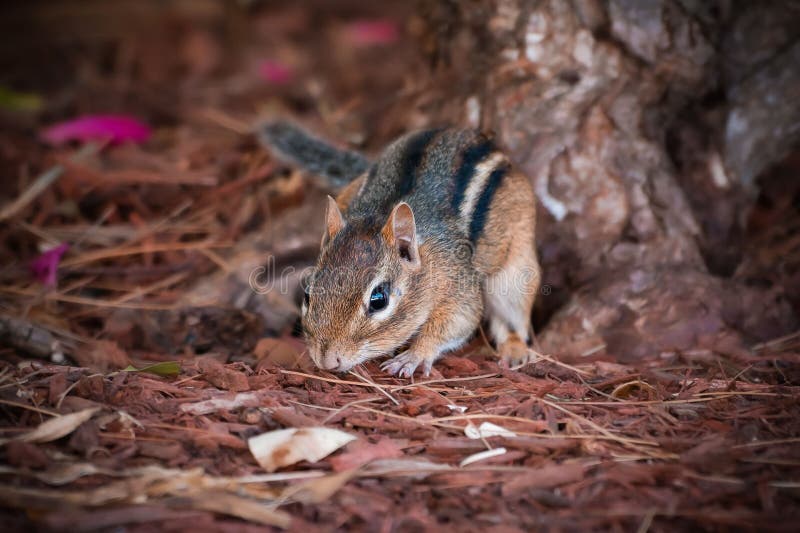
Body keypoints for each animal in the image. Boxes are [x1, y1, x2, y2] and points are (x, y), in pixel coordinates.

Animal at [259, 122, 541, 377]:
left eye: (379, 300)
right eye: (307, 295)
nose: (327, 360)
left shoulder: (459, 283)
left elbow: (460, 319)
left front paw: (414, 355)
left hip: (516, 266)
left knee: (513, 313)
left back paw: (514, 350)